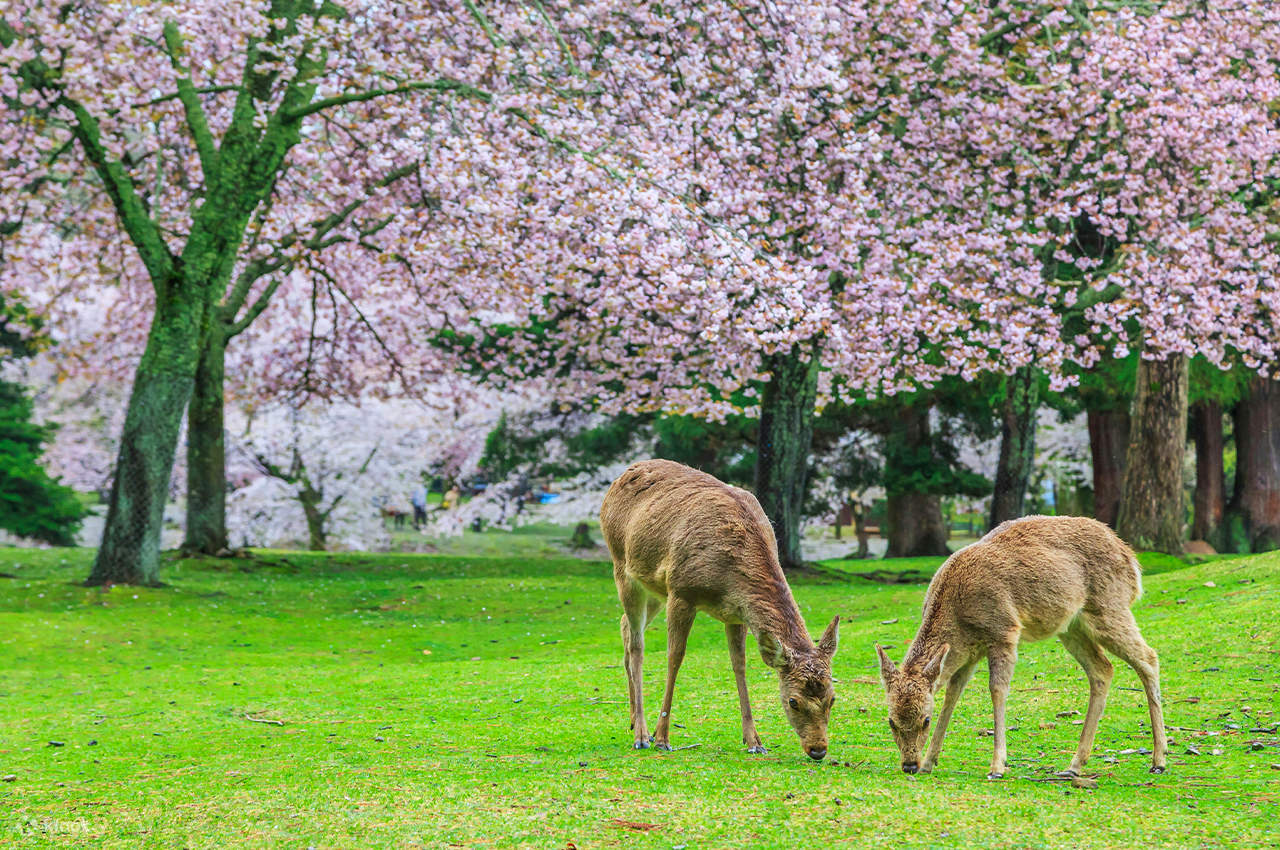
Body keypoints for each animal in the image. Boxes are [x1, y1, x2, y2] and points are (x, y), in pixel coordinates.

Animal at [601, 459, 840, 761]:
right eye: (793, 701)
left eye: (832, 698)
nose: (818, 749)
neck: (728, 581)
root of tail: (621, 476)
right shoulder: (681, 592)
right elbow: (675, 657)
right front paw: (663, 737)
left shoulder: (736, 614)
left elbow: (740, 665)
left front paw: (754, 741)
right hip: (622, 566)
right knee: (637, 645)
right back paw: (642, 735)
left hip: (653, 587)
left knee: (624, 626)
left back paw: (633, 720)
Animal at [875, 515, 1167, 779]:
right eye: (891, 720)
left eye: (925, 719)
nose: (909, 765)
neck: (958, 619)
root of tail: (1131, 560)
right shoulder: (968, 652)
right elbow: (952, 694)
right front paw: (929, 762)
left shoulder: (1004, 632)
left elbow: (997, 690)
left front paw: (997, 766)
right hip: (1071, 627)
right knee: (1102, 669)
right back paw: (1074, 765)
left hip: (1109, 607)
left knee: (1149, 657)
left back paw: (1159, 761)